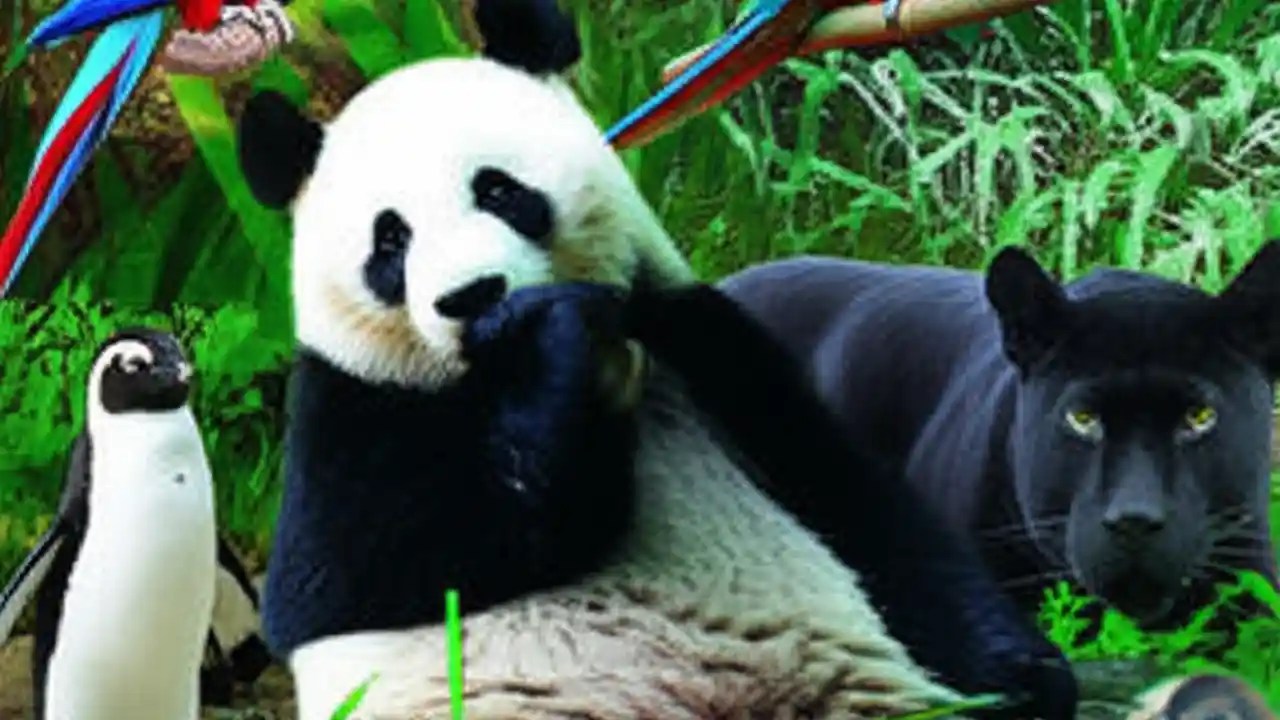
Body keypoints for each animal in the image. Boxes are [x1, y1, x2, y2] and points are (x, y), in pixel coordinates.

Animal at [233, 0, 1078, 718]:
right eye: (390, 241)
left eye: (499, 190)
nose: (472, 297)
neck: (490, 375)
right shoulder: (351, 403)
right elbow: (353, 576)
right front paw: (560, 356)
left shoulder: (706, 344)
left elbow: (860, 506)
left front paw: (1025, 676)